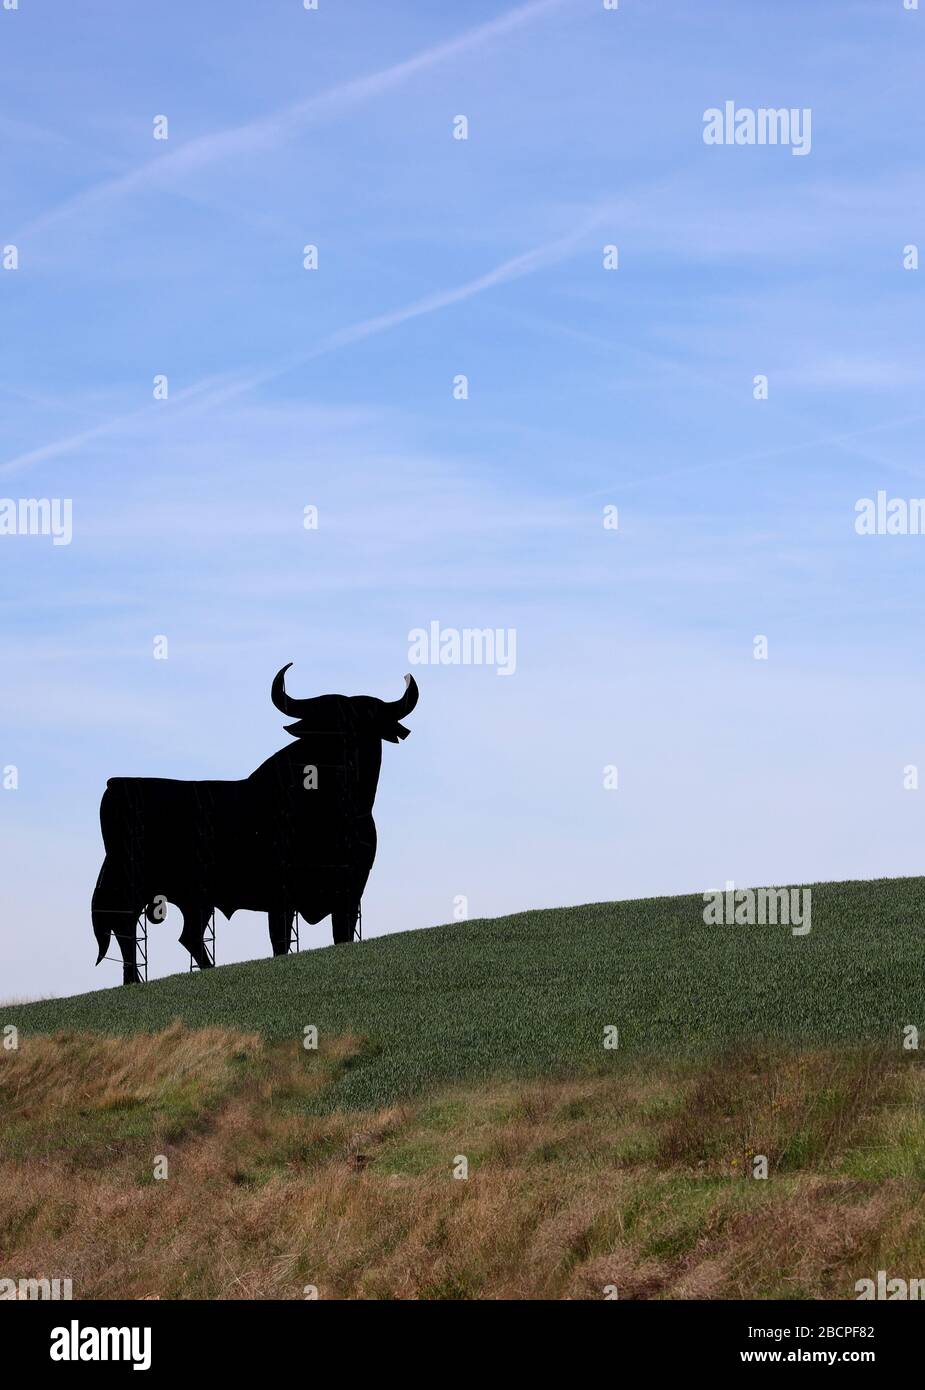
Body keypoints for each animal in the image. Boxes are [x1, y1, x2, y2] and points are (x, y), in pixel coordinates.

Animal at [91, 666, 419, 983]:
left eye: (367, 725)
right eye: (326, 727)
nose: (348, 759)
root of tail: (115, 785)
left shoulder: (351, 890)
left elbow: (342, 935)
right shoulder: (280, 894)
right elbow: (280, 941)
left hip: (193, 899)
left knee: (188, 935)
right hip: (131, 885)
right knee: (126, 927)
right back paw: (133, 980)